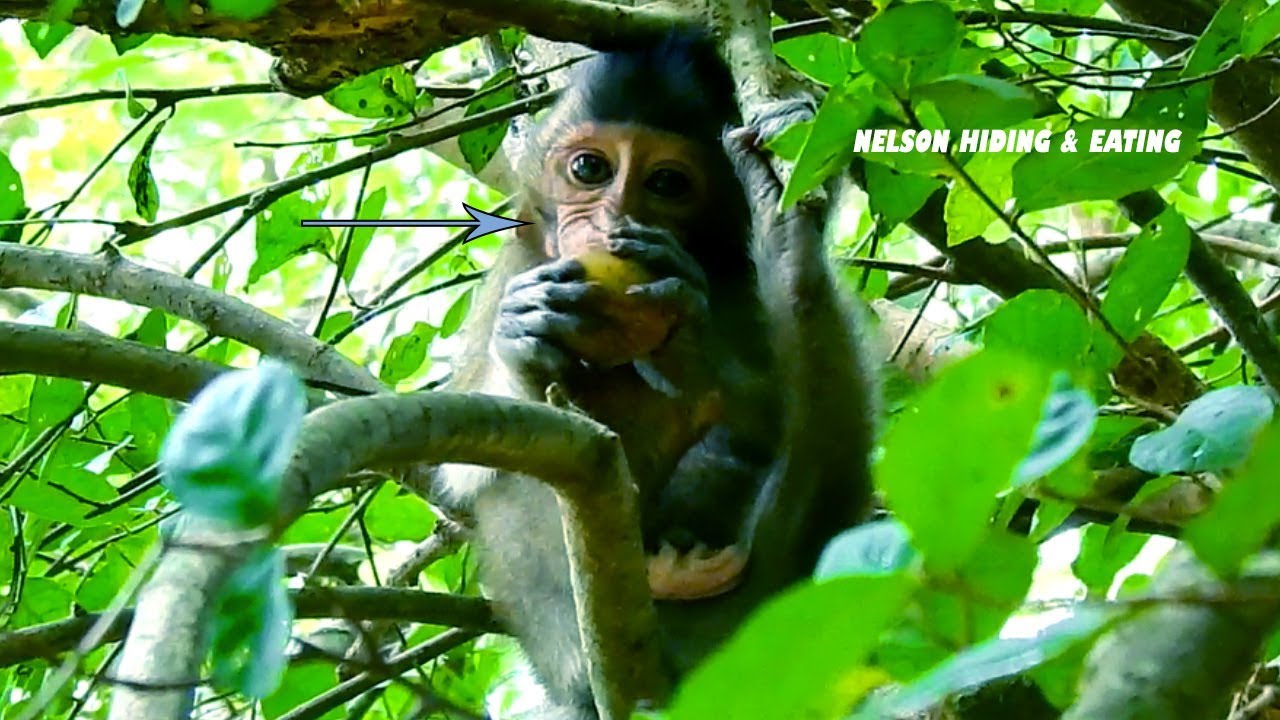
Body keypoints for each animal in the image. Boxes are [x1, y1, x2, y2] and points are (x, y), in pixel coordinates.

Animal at [438, 35, 876, 719]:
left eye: (667, 182)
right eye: (589, 169)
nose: (610, 222)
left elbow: (764, 414)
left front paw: (693, 353)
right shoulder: (510, 268)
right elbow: (468, 461)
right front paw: (526, 337)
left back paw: (786, 241)